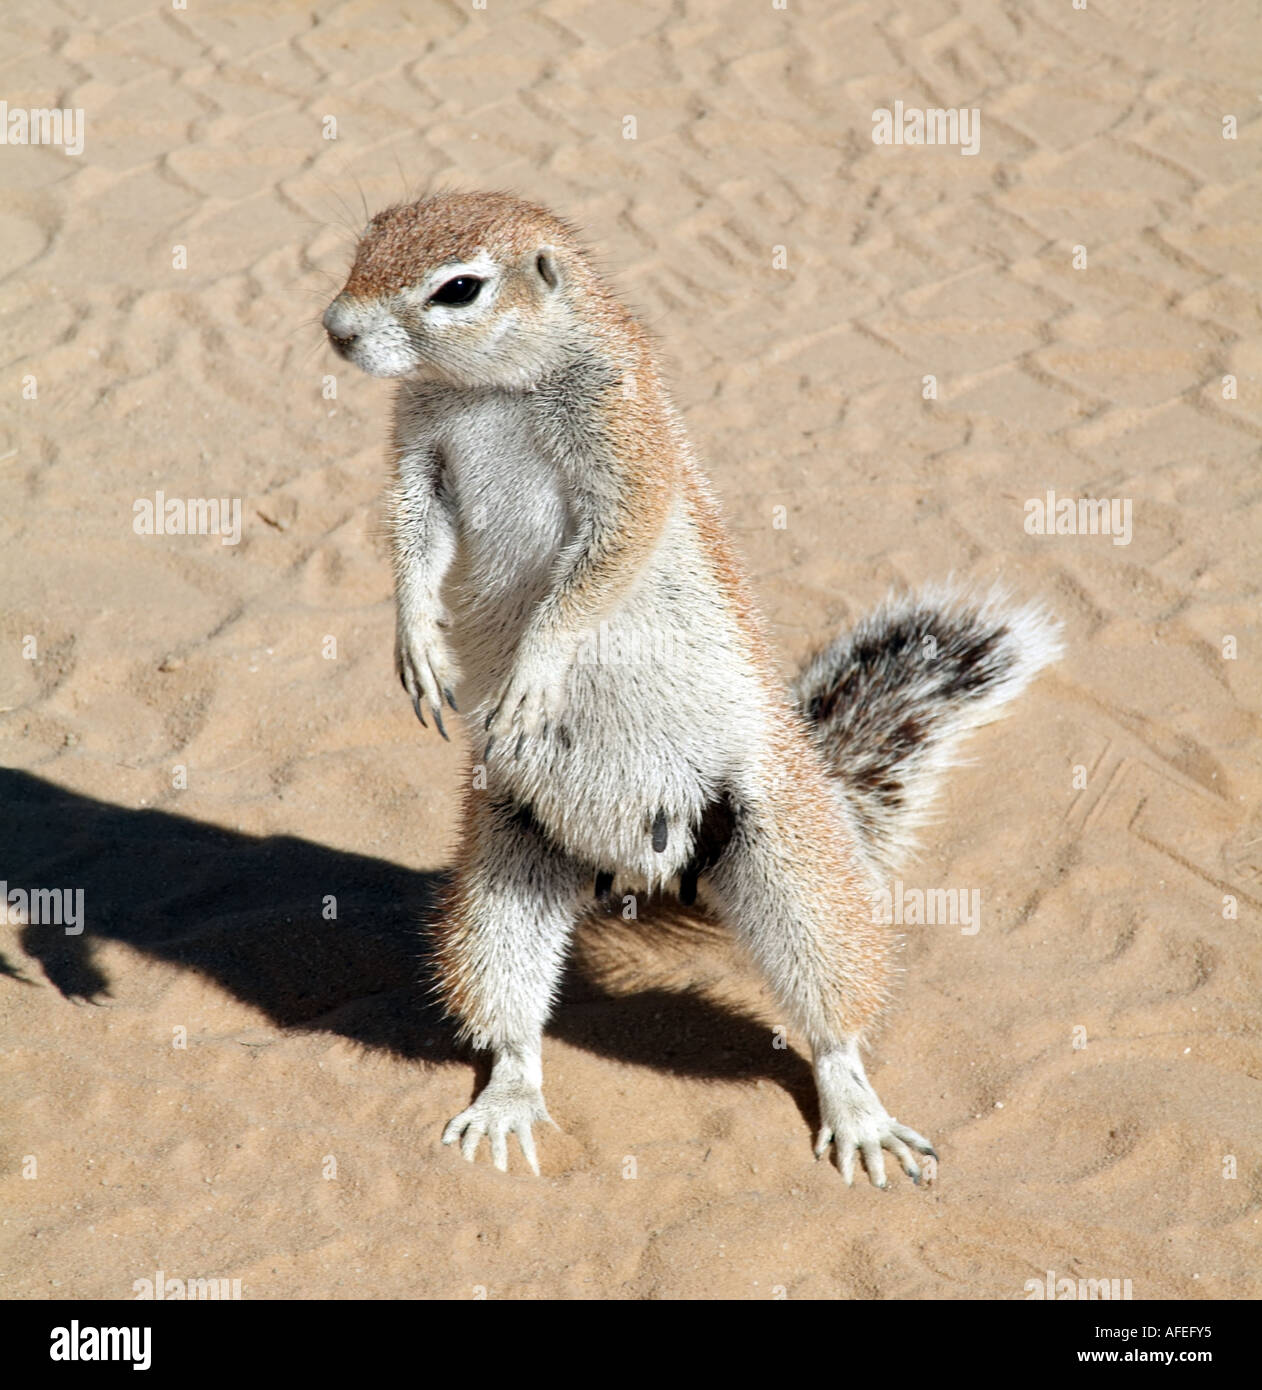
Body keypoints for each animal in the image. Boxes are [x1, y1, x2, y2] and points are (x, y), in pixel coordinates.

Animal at [323, 190, 1061, 1186]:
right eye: (368, 239)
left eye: (459, 288)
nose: (335, 329)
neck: (492, 390)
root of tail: (644, 870)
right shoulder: (417, 452)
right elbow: (411, 539)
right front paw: (415, 642)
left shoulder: (625, 455)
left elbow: (599, 569)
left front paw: (532, 671)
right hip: (504, 864)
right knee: (510, 1009)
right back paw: (510, 1097)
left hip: (786, 859)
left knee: (834, 1012)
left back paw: (859, 1111)